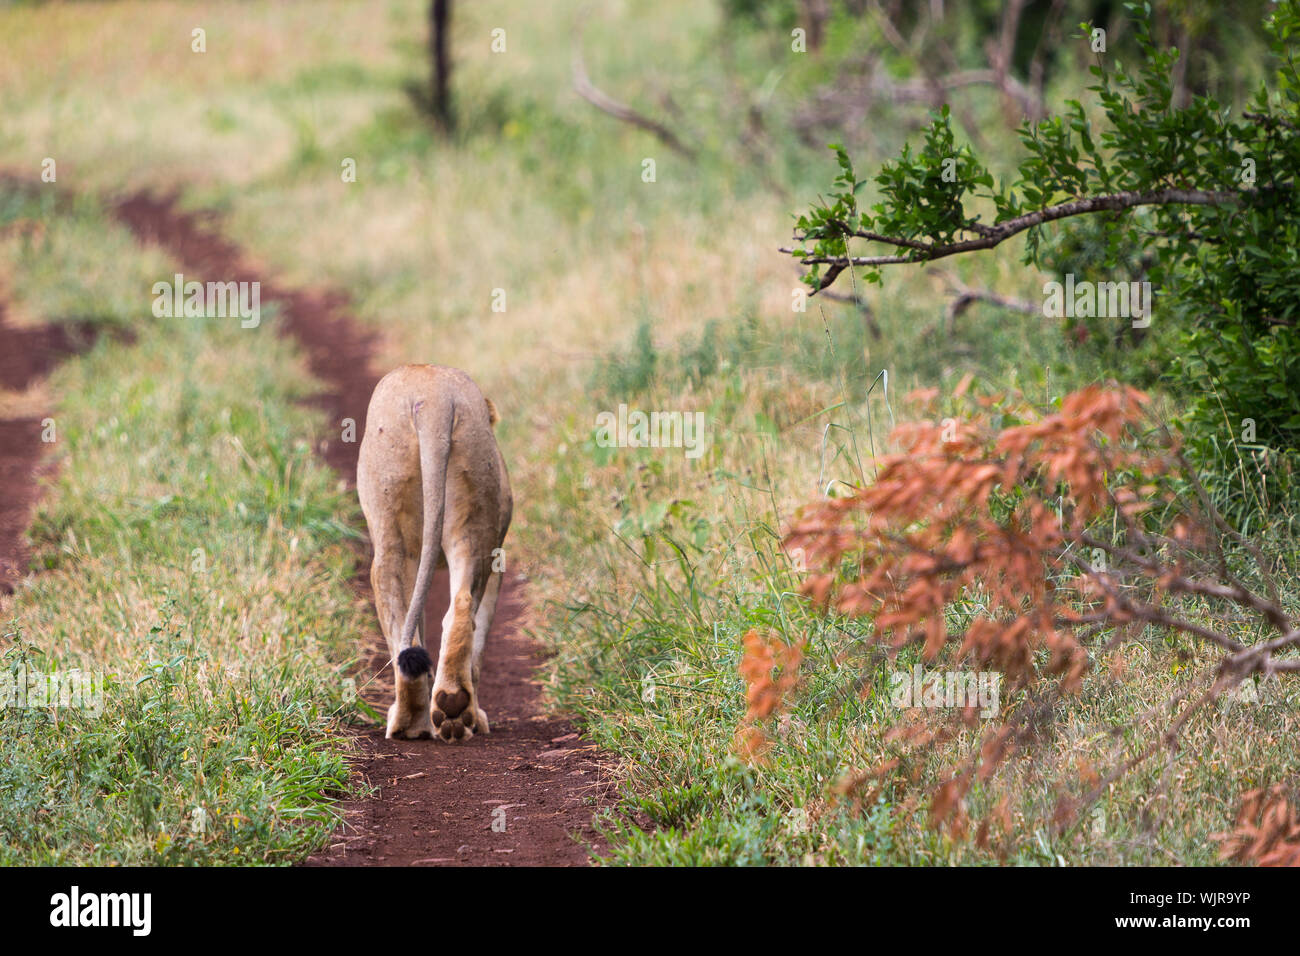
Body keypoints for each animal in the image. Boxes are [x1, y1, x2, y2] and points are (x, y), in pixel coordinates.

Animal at [357, 364, 512, 741]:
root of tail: (434, 399)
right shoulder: (495, 558)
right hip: (470, 529)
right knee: (460, 608)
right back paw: (447, 710)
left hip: (400, 534)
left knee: (413, 627)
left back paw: (417, 721)